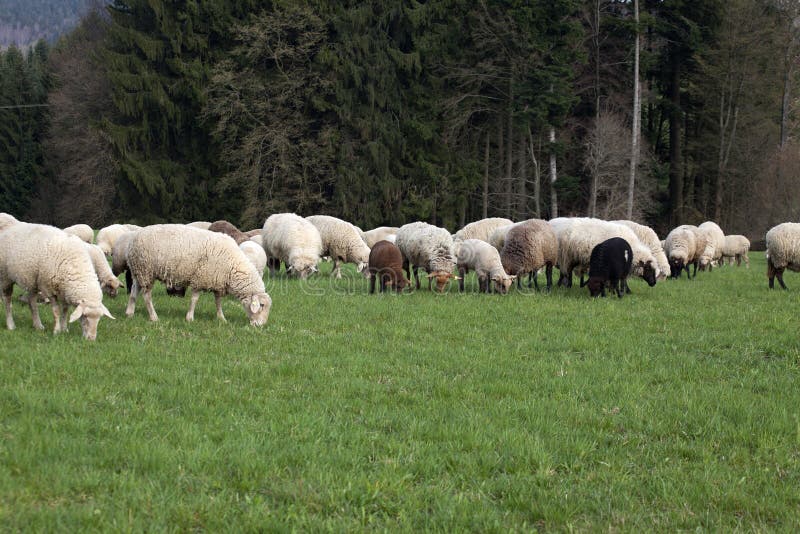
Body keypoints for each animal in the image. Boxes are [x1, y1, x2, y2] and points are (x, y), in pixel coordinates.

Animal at [125, 224, 272, 325]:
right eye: (262, 305)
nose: (260, 326)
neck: (232, 266)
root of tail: (132, 241)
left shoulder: (217, 281)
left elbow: (218, 302)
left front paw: (221, 318)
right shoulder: (200, 278)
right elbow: (194, 299)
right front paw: (190, 318)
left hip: (138, 271)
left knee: (134, 291)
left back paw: (129, 312)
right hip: (146, 271)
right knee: (146, 296)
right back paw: (154, 317)